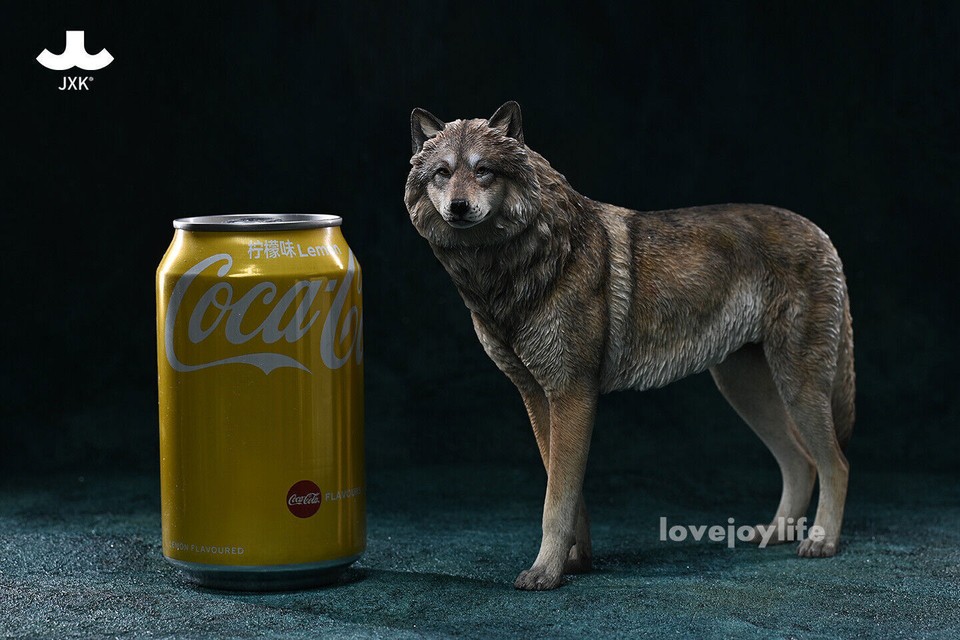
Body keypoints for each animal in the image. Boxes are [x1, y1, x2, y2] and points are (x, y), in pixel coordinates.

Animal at [404, 101, 855, 591]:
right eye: (443, 173)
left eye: (483, 170)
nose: (458, 207)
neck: (515, 269)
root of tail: (820, 232)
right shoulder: (538, 396)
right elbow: (567, 493)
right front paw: (572, 563)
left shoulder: (572, 394)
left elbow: (556, 500)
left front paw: (545, 572)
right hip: (746, 392)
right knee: (800, 463)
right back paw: (775, 534)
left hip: (796, 387)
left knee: (835, 463)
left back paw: (821, 542)